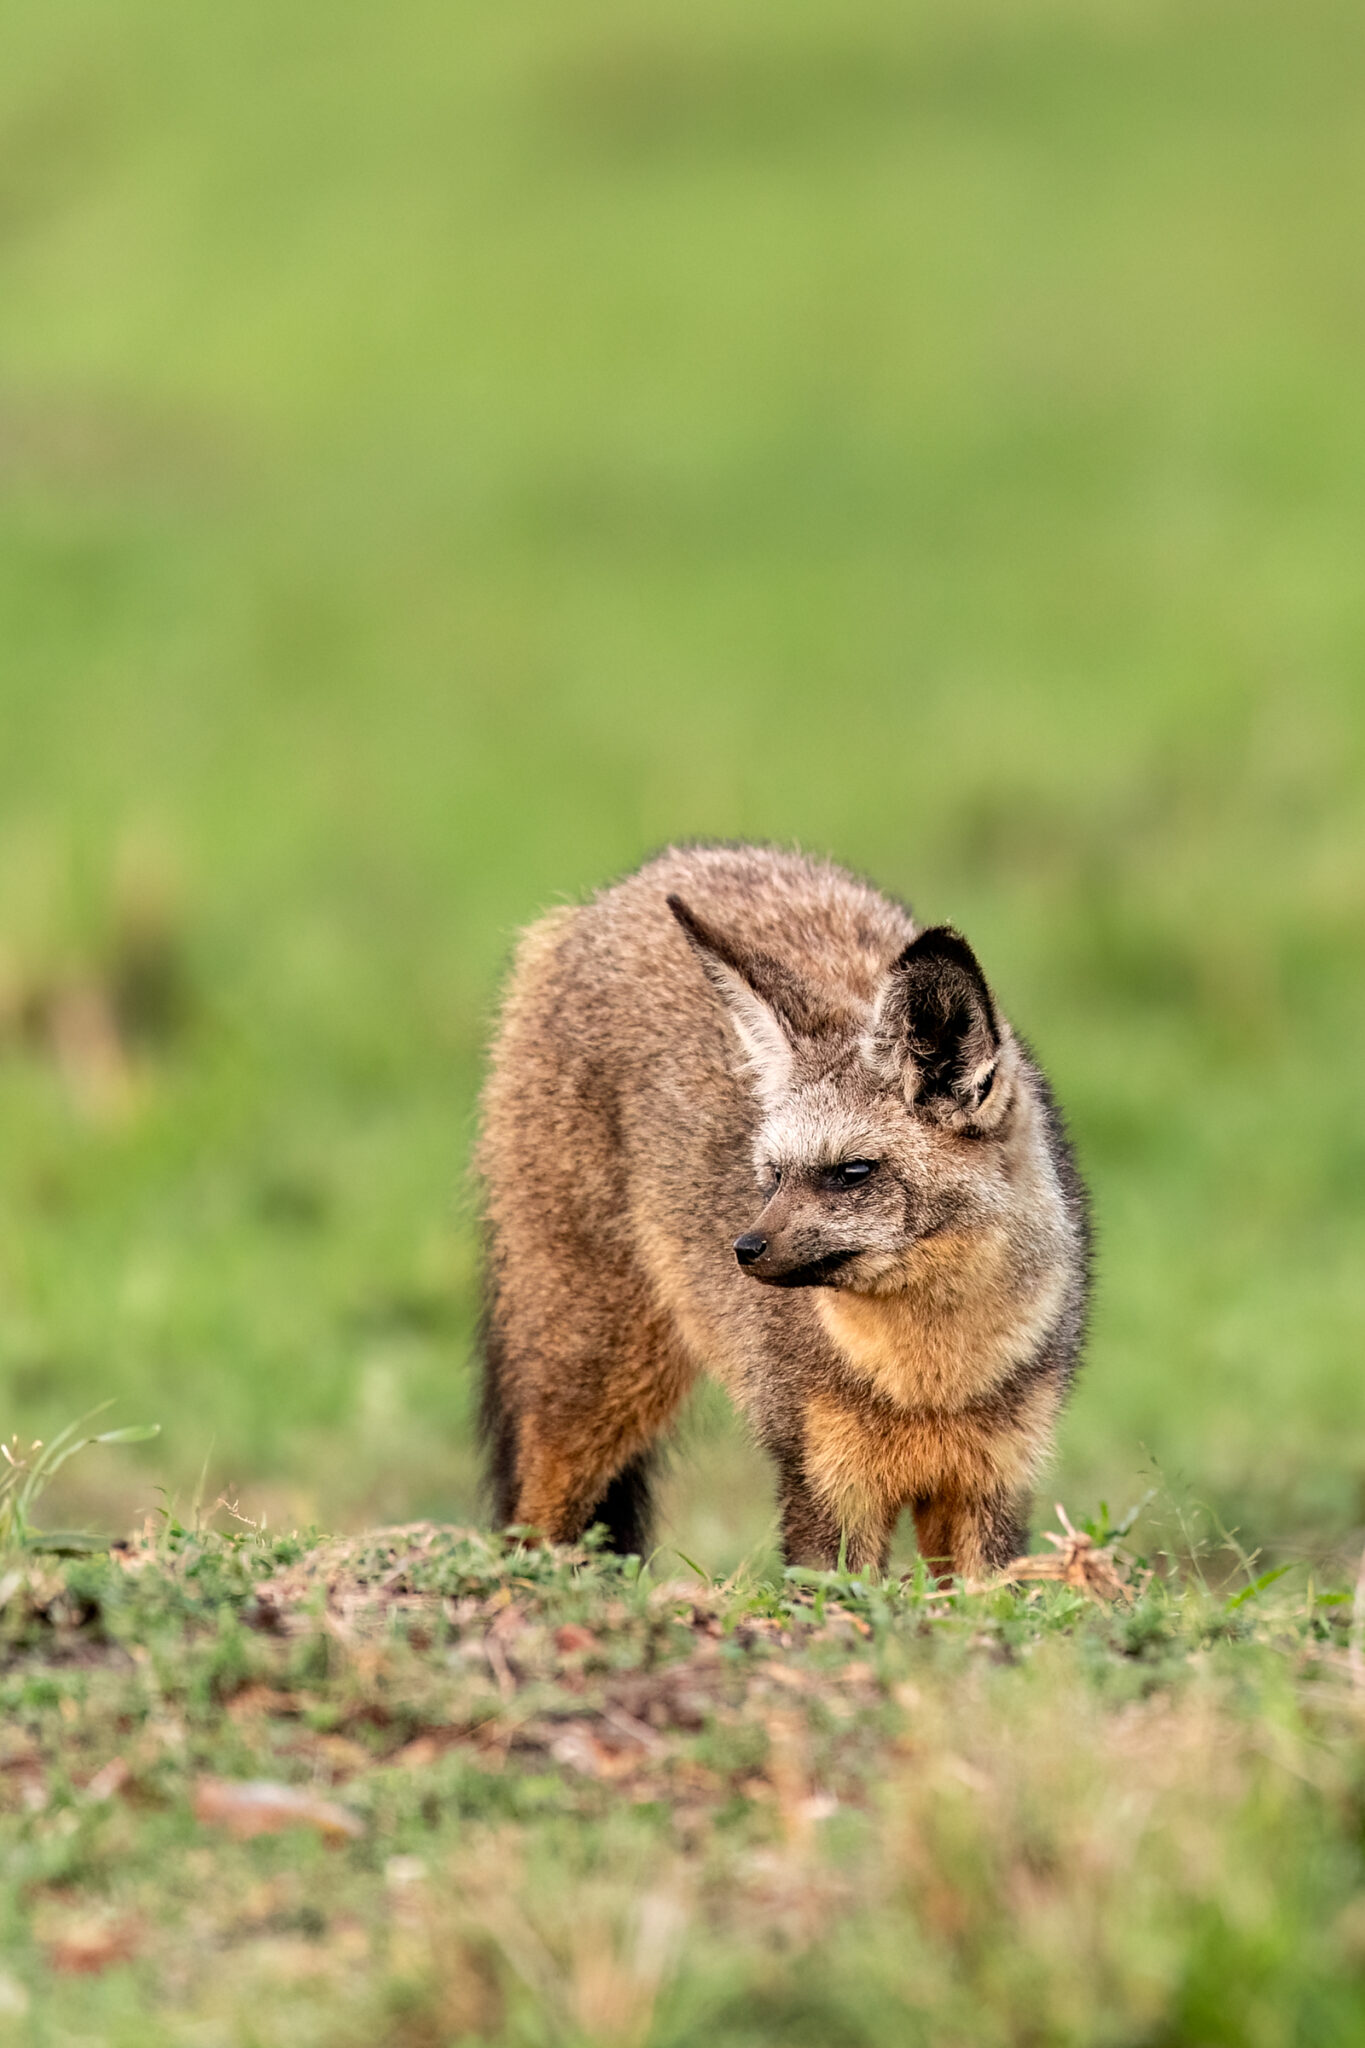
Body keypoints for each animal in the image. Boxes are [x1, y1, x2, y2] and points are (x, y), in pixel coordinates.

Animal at [477, 844, 1090, 1580]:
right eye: (770, 1176)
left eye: (852, 1172)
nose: (743, 1250)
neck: (929, 1384)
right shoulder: (823, 1486)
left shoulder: (990, 1489)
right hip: (594, 1382)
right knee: (534, 1520)